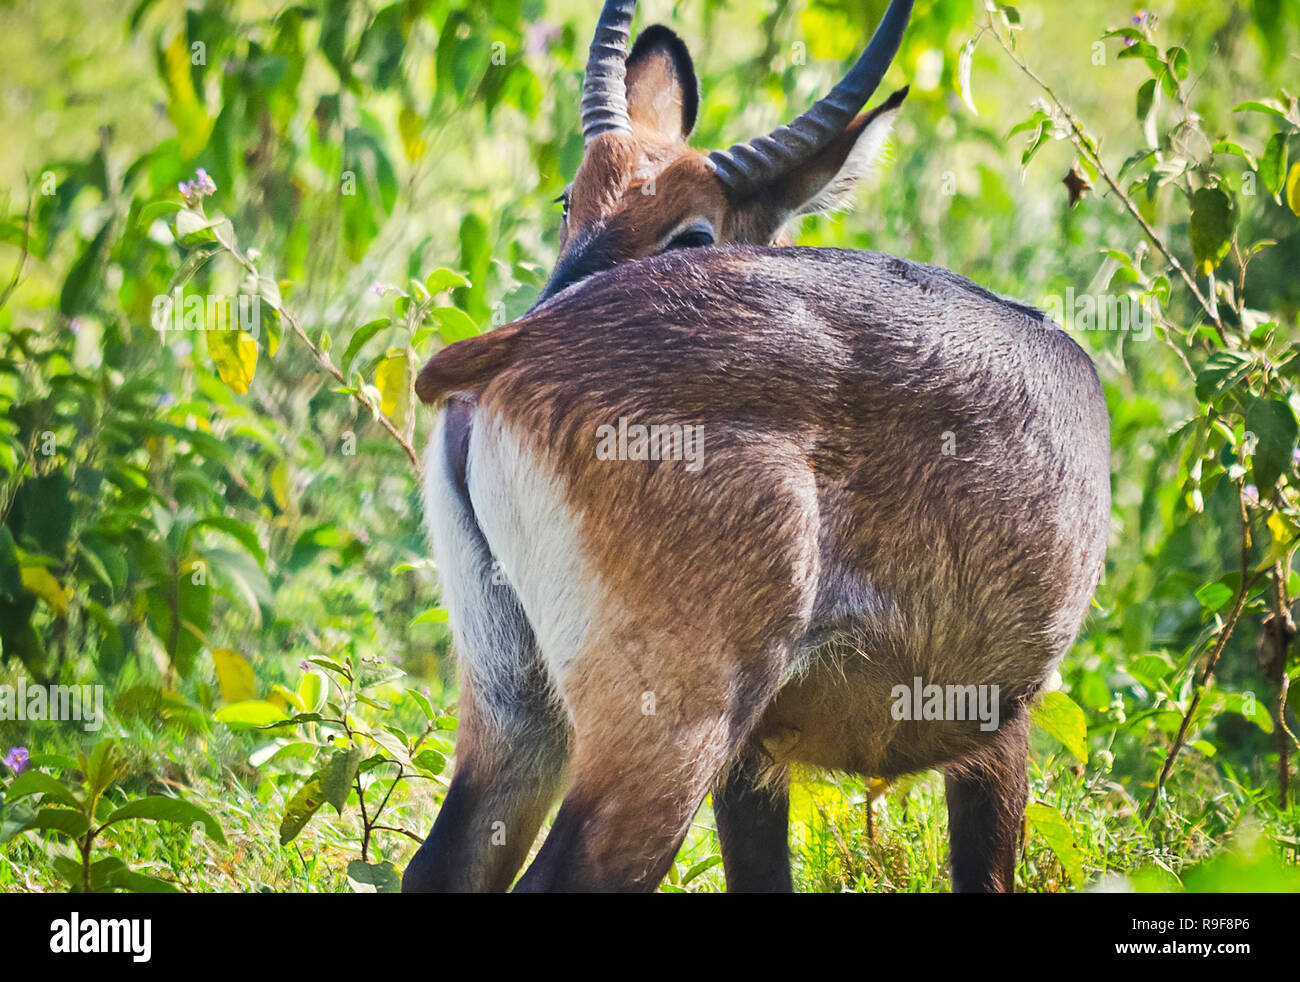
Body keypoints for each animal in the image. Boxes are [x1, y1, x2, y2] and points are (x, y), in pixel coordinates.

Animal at [401, 0, 1110, 893]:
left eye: (692, 232)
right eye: (573, 200)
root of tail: (510, 349)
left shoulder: (754, 763)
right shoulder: (998, 731)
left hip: (516, 703)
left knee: (441, 863)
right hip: (670, 734)